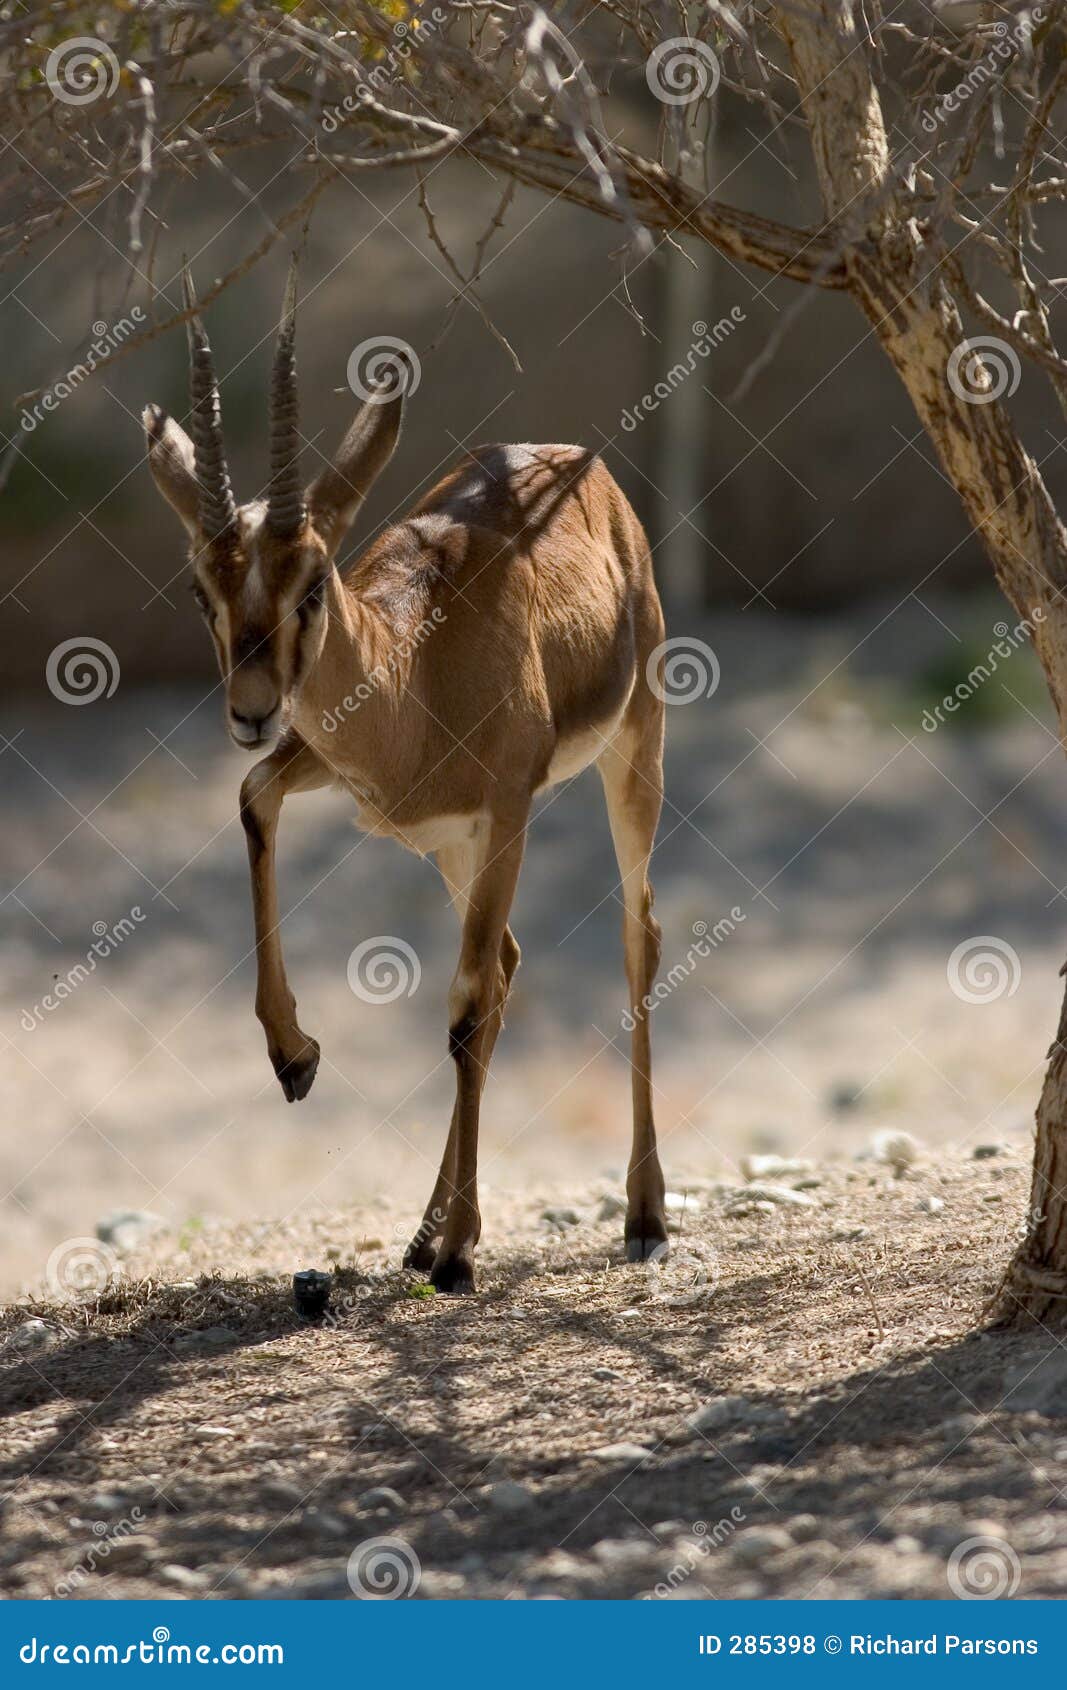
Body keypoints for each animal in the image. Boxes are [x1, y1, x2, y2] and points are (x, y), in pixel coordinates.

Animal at [142, 263, 669, 1293]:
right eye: (201, 588)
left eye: (311, 582)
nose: (251, 709)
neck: (415, 668)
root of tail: (581, 465)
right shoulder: (347, 774)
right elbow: (251, 799)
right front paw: (294, 1057)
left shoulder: (507, 808)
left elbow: (463, 1009)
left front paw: (463, 1251)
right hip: (451, 848)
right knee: (506, 965)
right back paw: (425, 1235)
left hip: (630, 752)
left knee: (634, 939)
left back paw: (640, 1216)